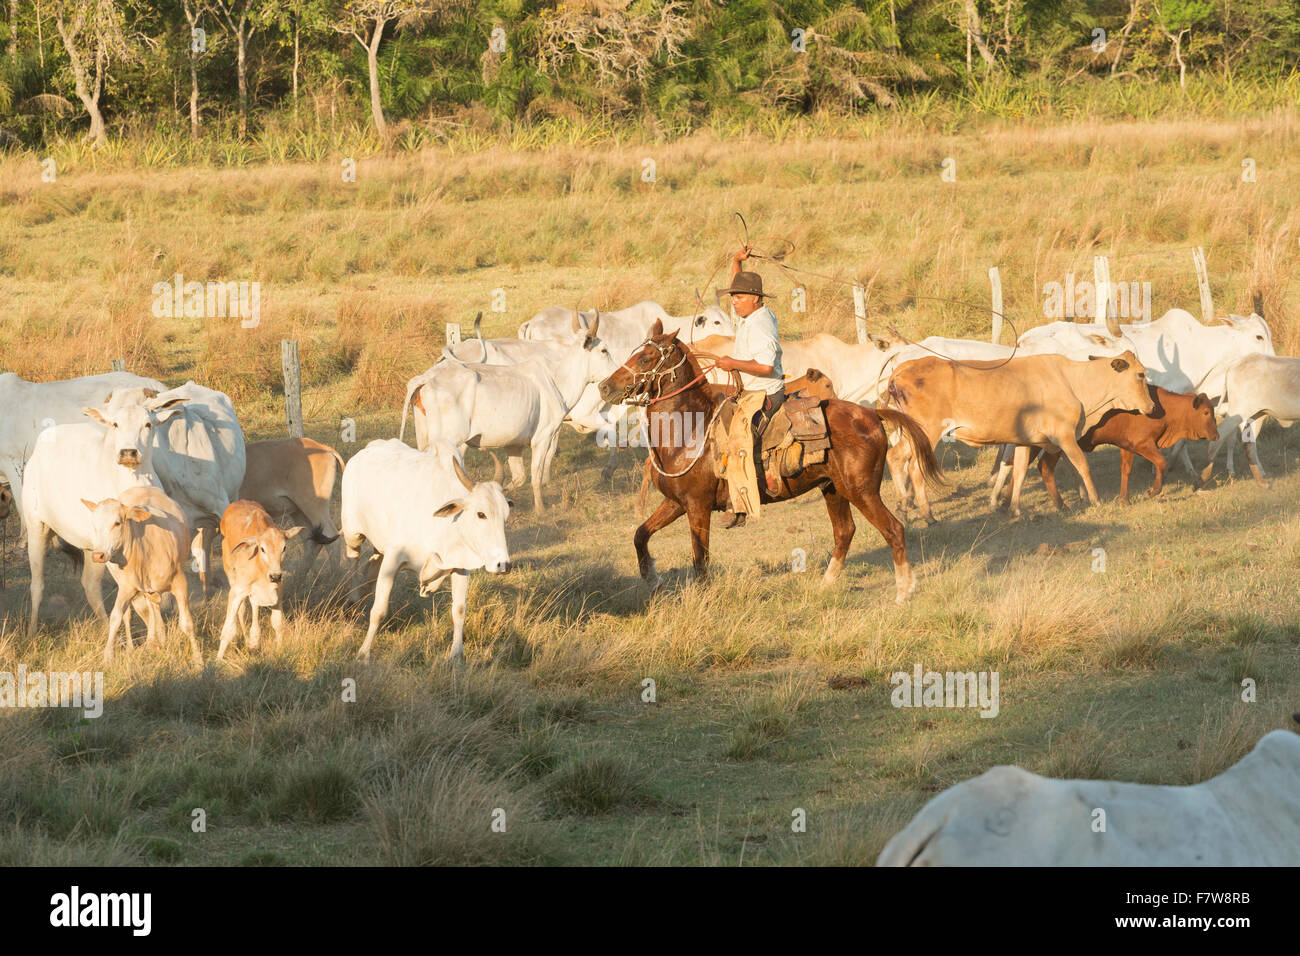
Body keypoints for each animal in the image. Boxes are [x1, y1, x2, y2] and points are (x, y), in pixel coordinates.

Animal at [597, 320, 942, 604]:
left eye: (645, 358)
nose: (604, 386)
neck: (689, 430)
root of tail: (871, 414)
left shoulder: (697, 506)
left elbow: (700, 558)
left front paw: (702, 598)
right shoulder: (676, 502)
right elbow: (641, 534)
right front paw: (652, 579)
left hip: (862, 491)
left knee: (893, 529)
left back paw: (903, 591)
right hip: (833, 488)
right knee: (845, 531)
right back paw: (826, 584)